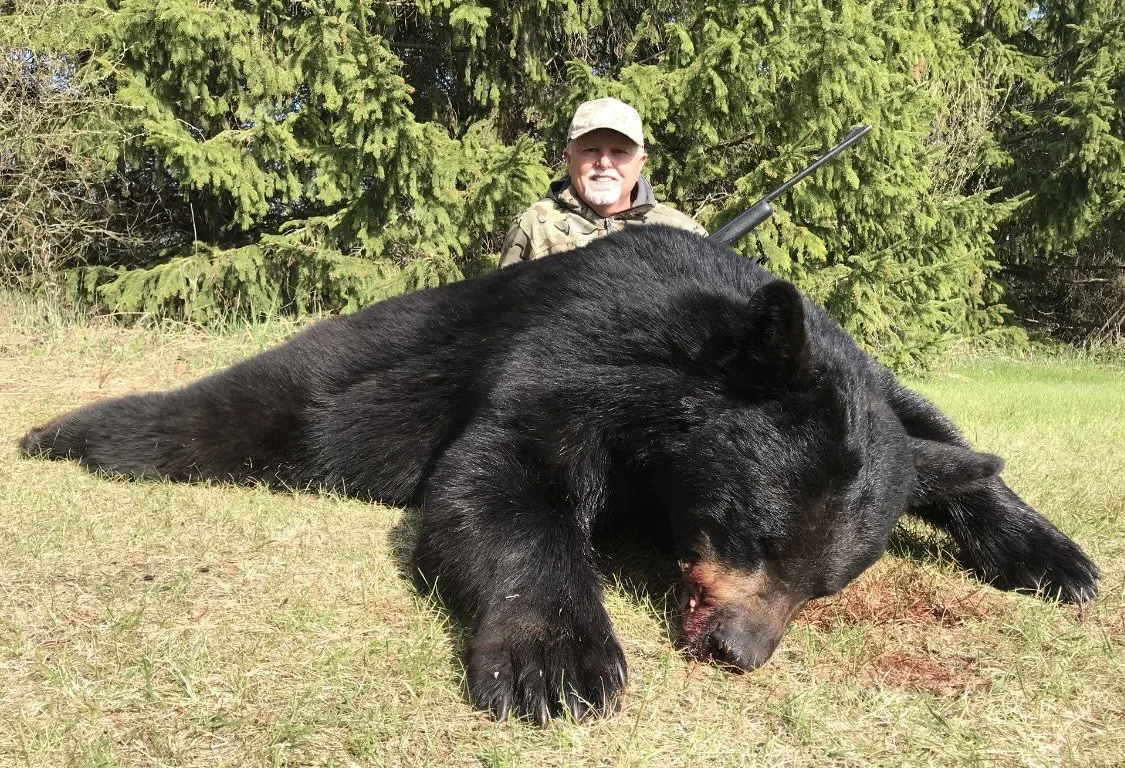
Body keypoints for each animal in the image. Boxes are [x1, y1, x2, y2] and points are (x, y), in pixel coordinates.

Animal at [20, 226, 1098, 725]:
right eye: (754, 532)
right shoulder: (577, 355)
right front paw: (559, 662)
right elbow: (502, 481)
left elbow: (940, 435)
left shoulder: (869, 388)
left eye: (823, 585)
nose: (740, 650)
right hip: (340, 384)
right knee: (217, 413)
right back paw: (57, 433)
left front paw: (1055, 555)